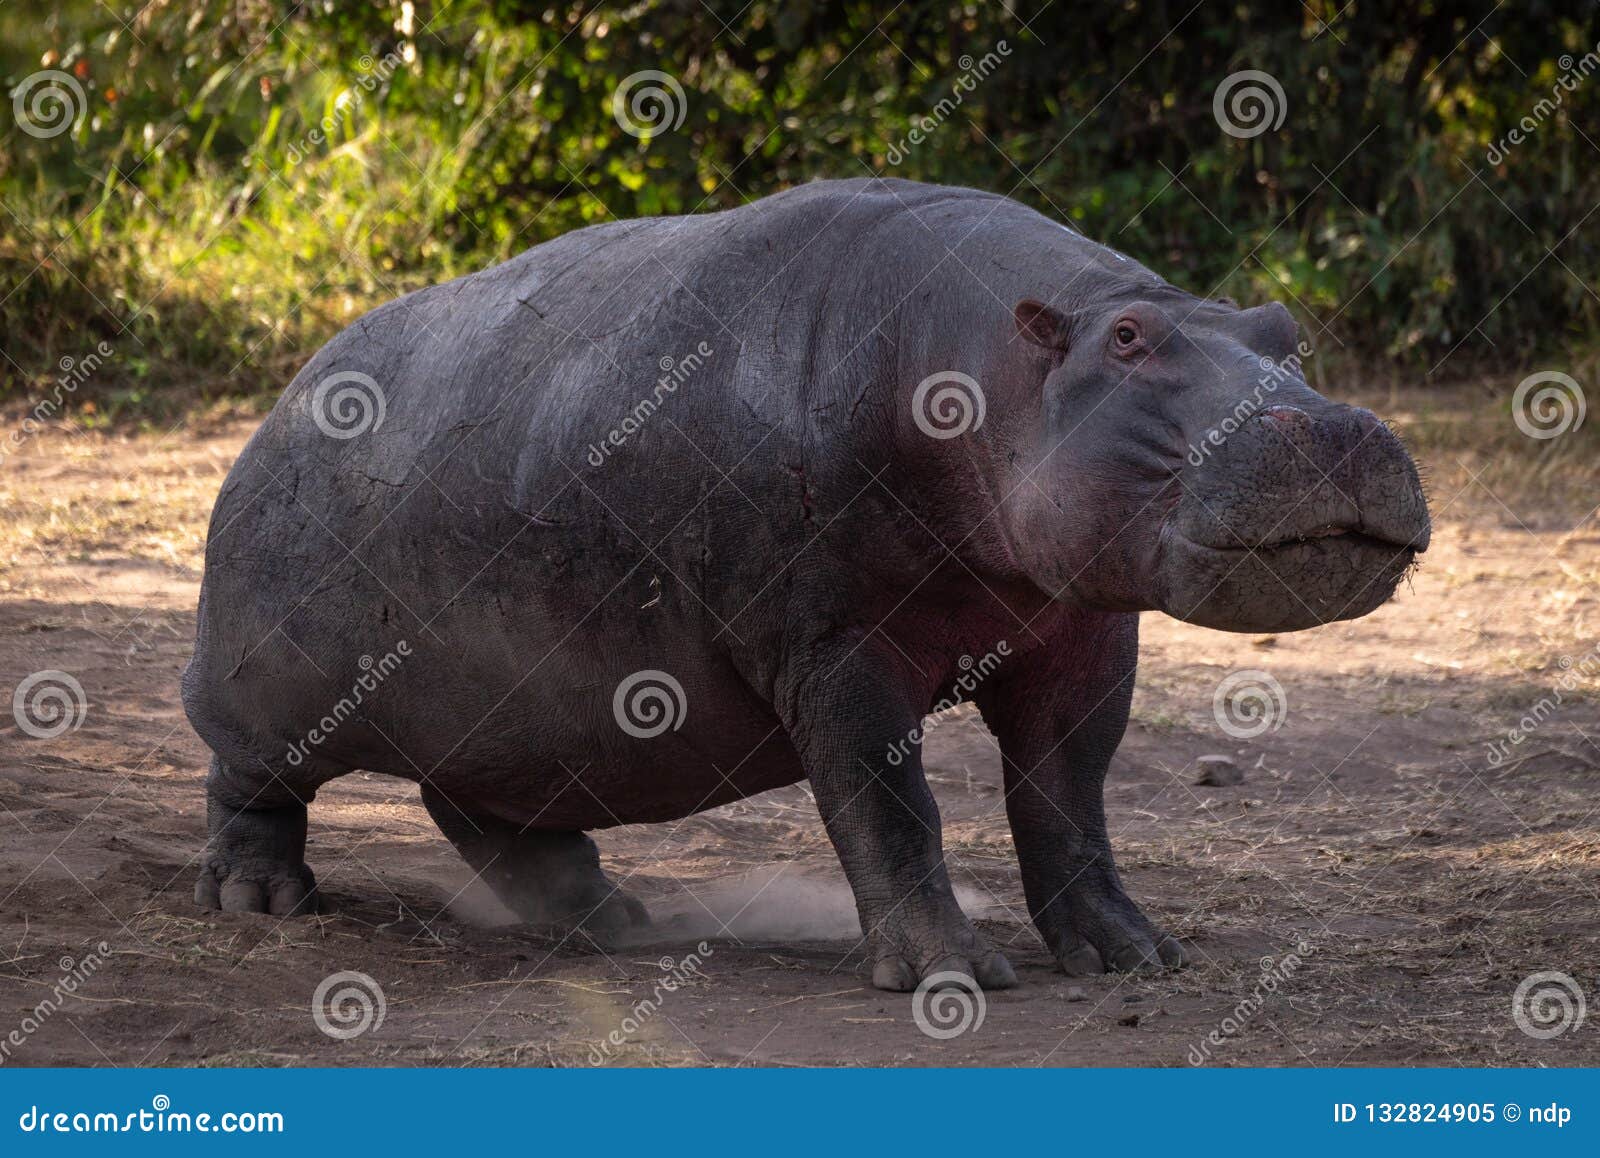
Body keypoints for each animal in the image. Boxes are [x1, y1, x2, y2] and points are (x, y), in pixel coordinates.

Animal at [182, 177, 1429, 992]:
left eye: (1280, 327)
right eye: (1126, 337)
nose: (1339, 430)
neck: (986, 365)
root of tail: (279, 409)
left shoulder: (1078, 636)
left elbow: (1068, 798)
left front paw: (1137, 955)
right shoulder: (832, 645)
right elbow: (889, 803)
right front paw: (949, 978)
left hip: (509, 710)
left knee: (485, 807)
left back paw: (608, 918)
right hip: (267, 692)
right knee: (252, 786)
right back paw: (262, 903)